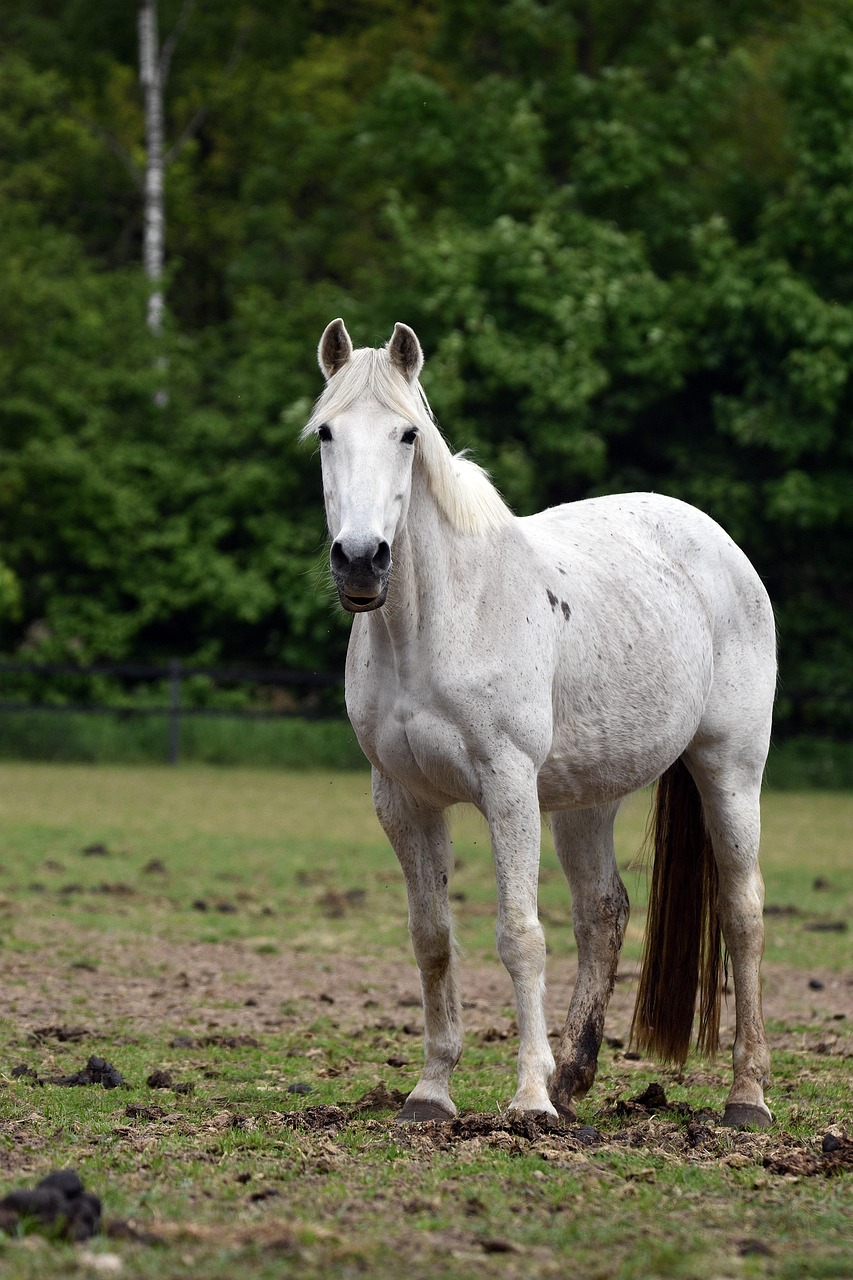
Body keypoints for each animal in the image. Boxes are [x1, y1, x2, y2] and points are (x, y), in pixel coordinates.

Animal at [304, 318, 777, 1129]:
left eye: (406, 434)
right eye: (327, 433)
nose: (362, 561)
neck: (439, 621)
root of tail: (717, 542)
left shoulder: (507, 787)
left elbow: (519, 936)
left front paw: (526, 1099)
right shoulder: (402, 800)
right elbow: (432, 939)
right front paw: (432, 1091)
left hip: (729, 769)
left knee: (741, 912)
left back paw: (745, 1098)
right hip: (589, 797)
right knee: (603, 913)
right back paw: (574, 1077)